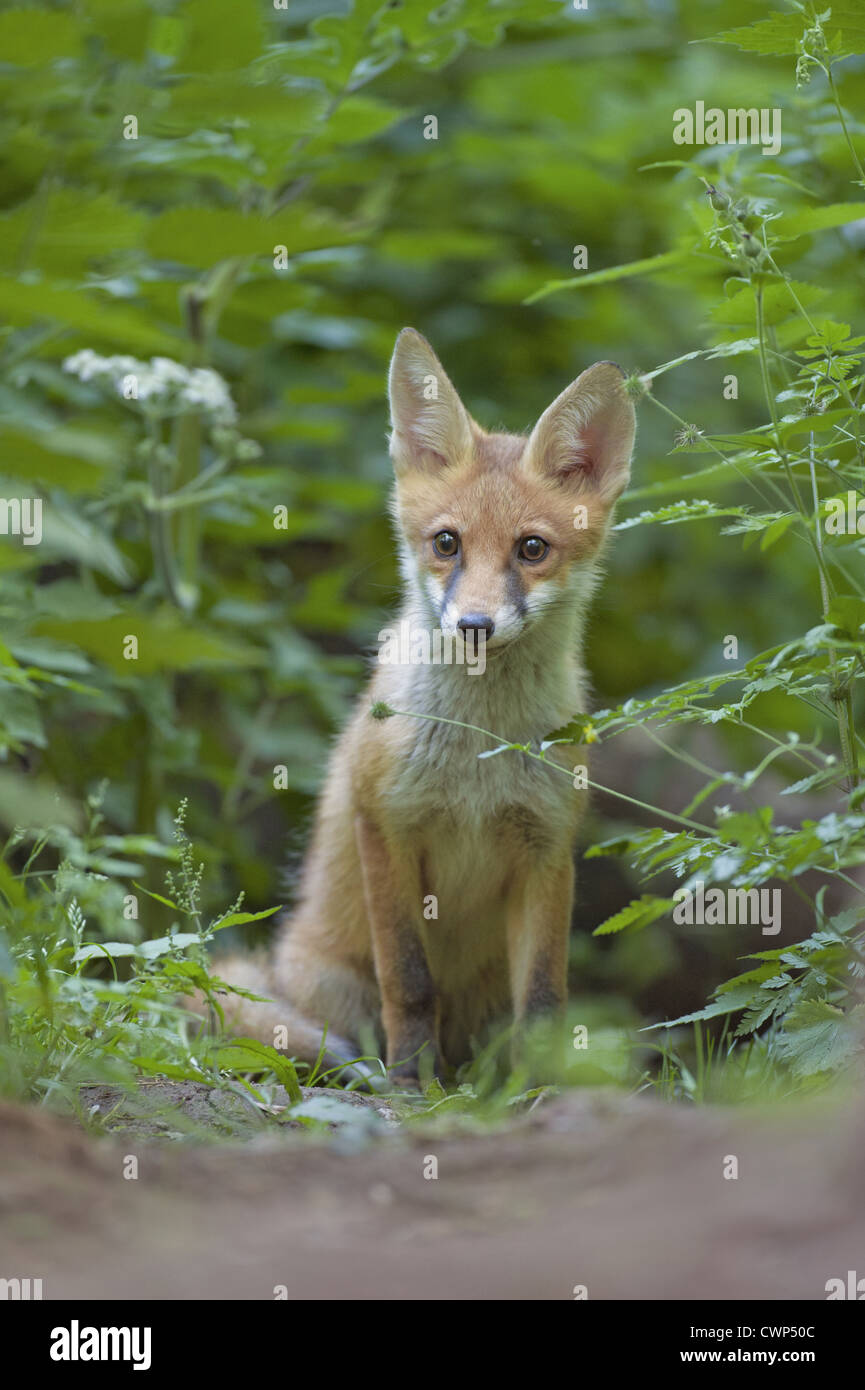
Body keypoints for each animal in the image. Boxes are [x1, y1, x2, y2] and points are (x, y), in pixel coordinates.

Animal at [210, 328, 637, 1086]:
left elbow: (544, 998)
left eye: (532, 549)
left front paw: (537, 1092)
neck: (478, 754)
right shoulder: (386, 826)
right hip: (326, 986)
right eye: (447, 543)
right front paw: (412, 1081)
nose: (474, 625)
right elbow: (409, 981)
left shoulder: (547, 846)